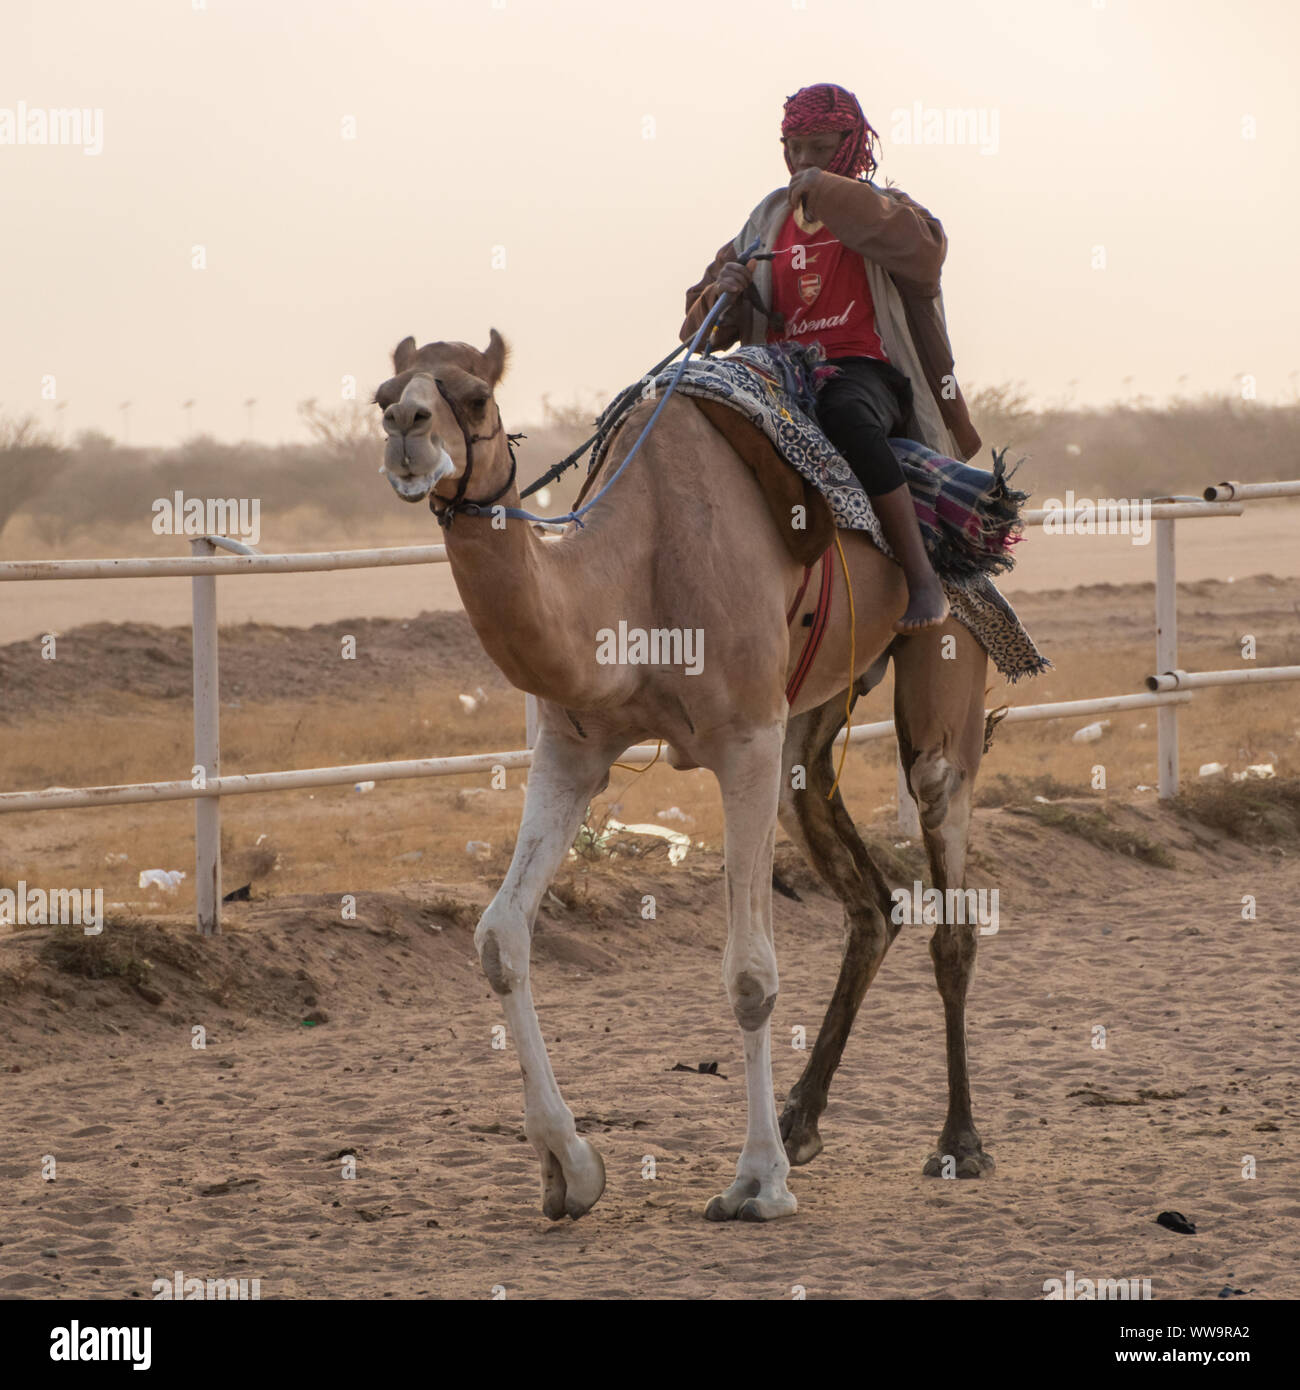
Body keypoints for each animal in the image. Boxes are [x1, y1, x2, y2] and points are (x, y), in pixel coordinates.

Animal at [375, 329, 994, 1222]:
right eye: (384, 394)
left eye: (476, 395)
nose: (406, 432)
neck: (638, 569)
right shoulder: (571, 750)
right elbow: (500, 937)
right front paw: (567, 1168)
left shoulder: (744, 739)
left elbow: (751, 975)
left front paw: (756, 1182)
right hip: (810, 721)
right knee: (870, 903)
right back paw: (803, 1120)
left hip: (943, 660)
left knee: (949, 876)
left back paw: (958, 1142)